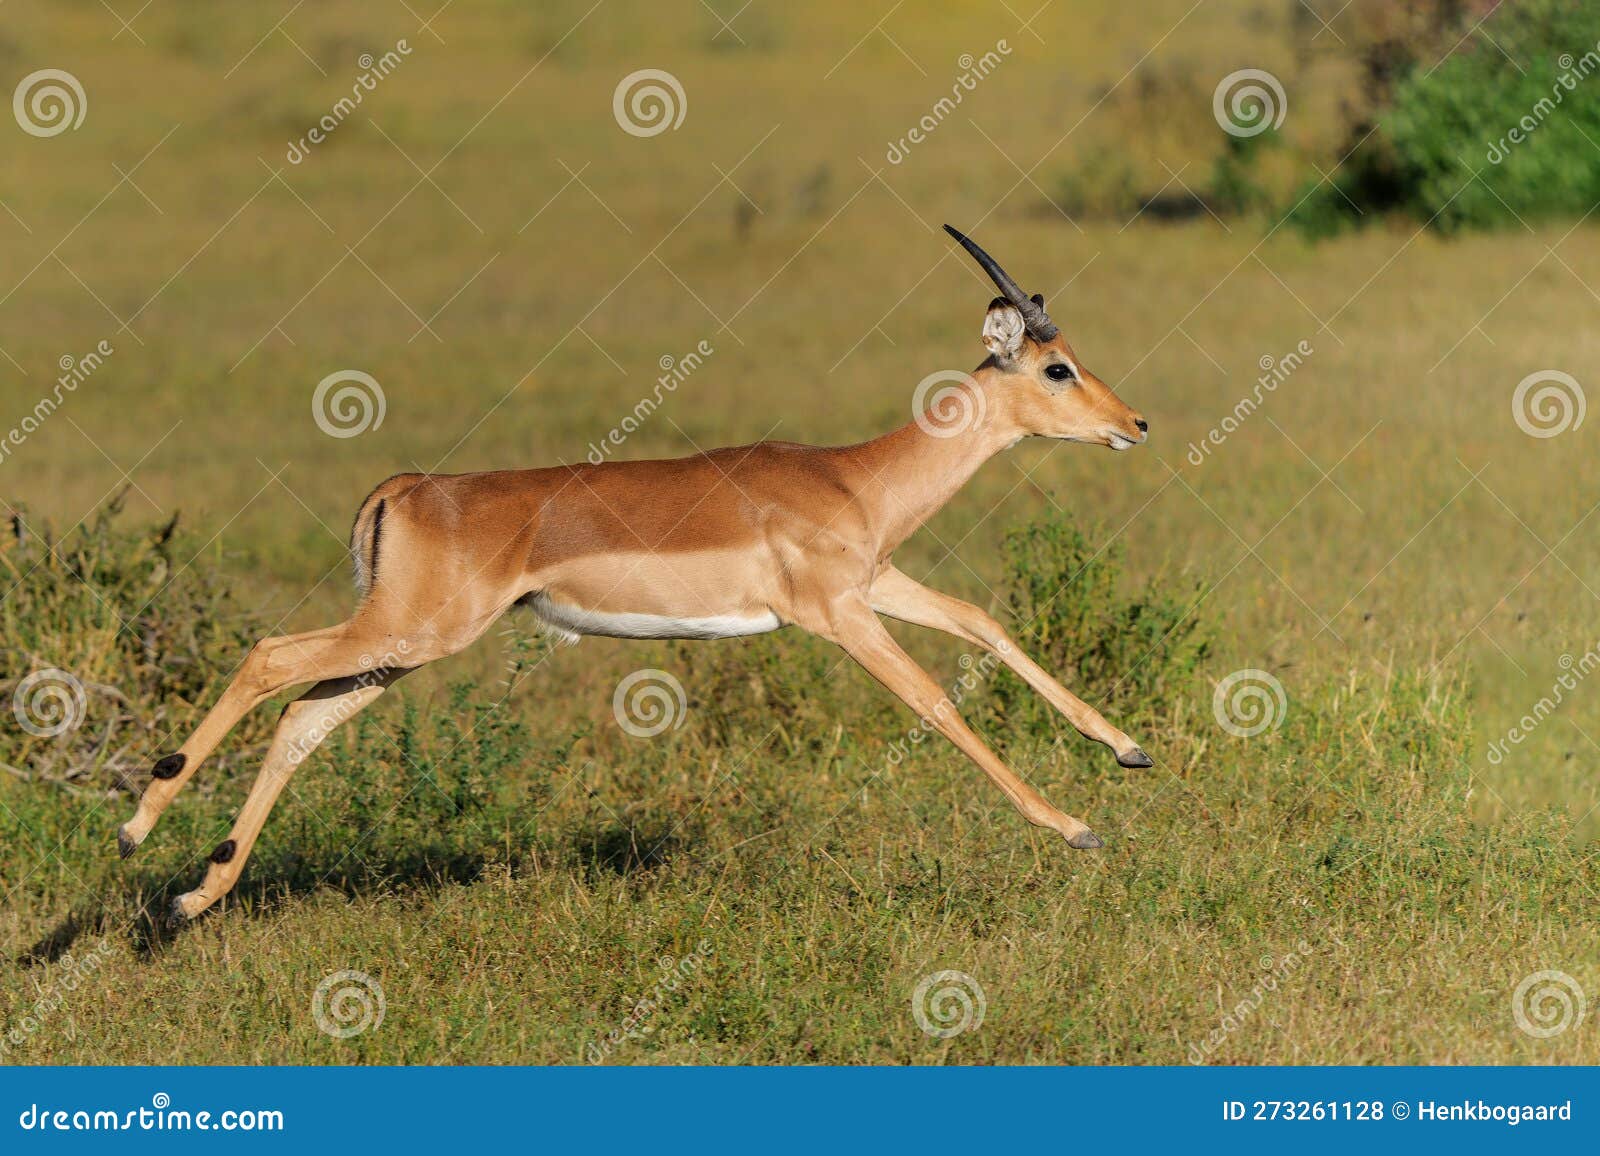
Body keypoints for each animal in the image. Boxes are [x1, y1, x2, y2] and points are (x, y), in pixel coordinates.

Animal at [121, 225, 1151, 923]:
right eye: (1057, 368)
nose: (1135, 424)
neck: (856, 478)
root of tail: (409, 487)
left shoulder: (876, 584)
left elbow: (985, 622)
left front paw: (1130, 750)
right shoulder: (839, 615)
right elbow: (937, 703)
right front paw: (1076, 827)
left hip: (400, 649)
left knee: (301, 717)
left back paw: (195, 894)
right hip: (412, 629)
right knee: (267, 656)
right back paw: (139, 827)